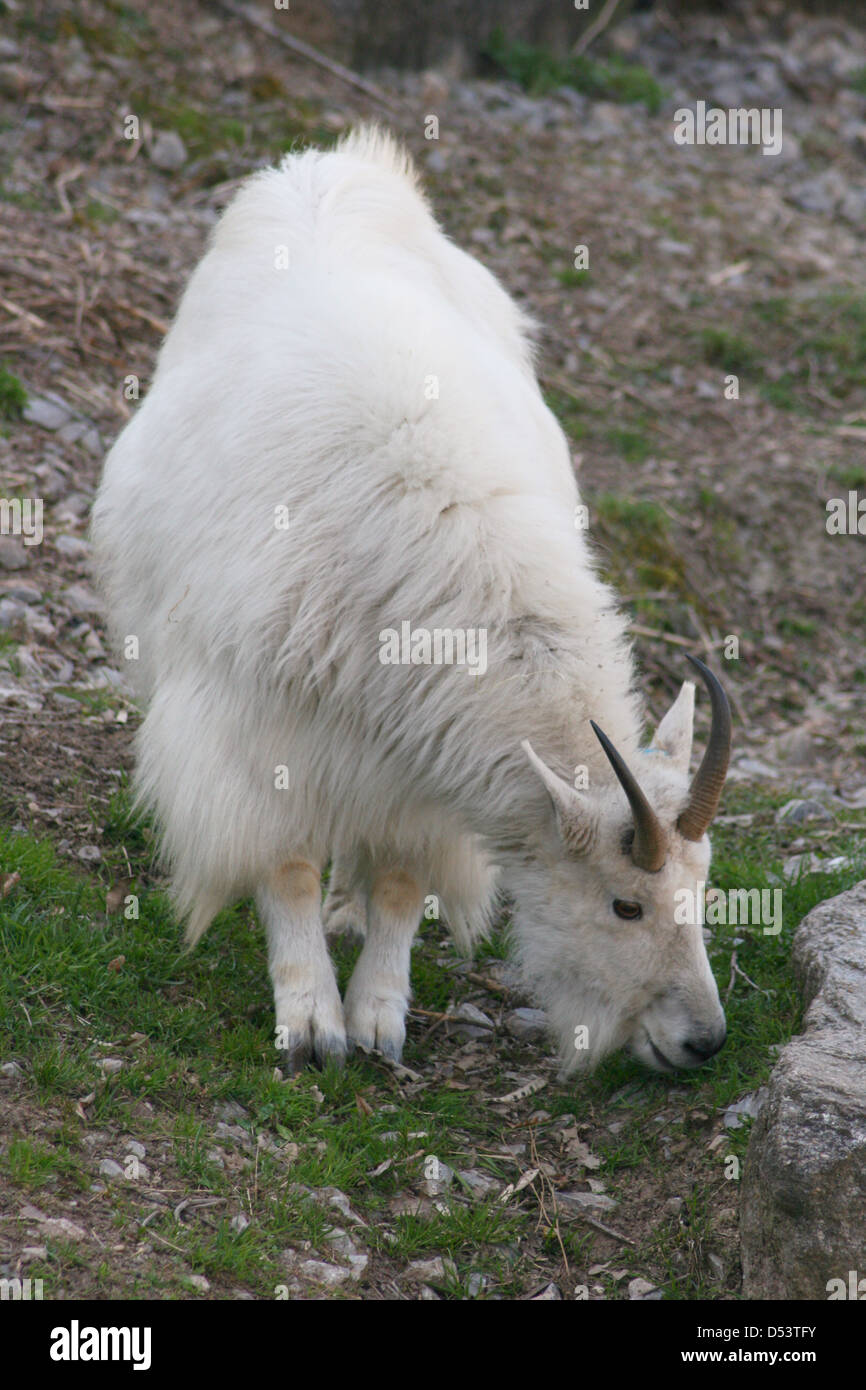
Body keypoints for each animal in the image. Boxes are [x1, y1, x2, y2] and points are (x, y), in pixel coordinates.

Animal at [91, 127, 731, 1076]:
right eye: (625, 904)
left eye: (705, 887)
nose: (702, 1040)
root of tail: (336, 163)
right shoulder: (253, 734)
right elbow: (284, 864)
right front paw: (310, 1025)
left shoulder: (422, 771)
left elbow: (399, 878)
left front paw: (379, 1017)